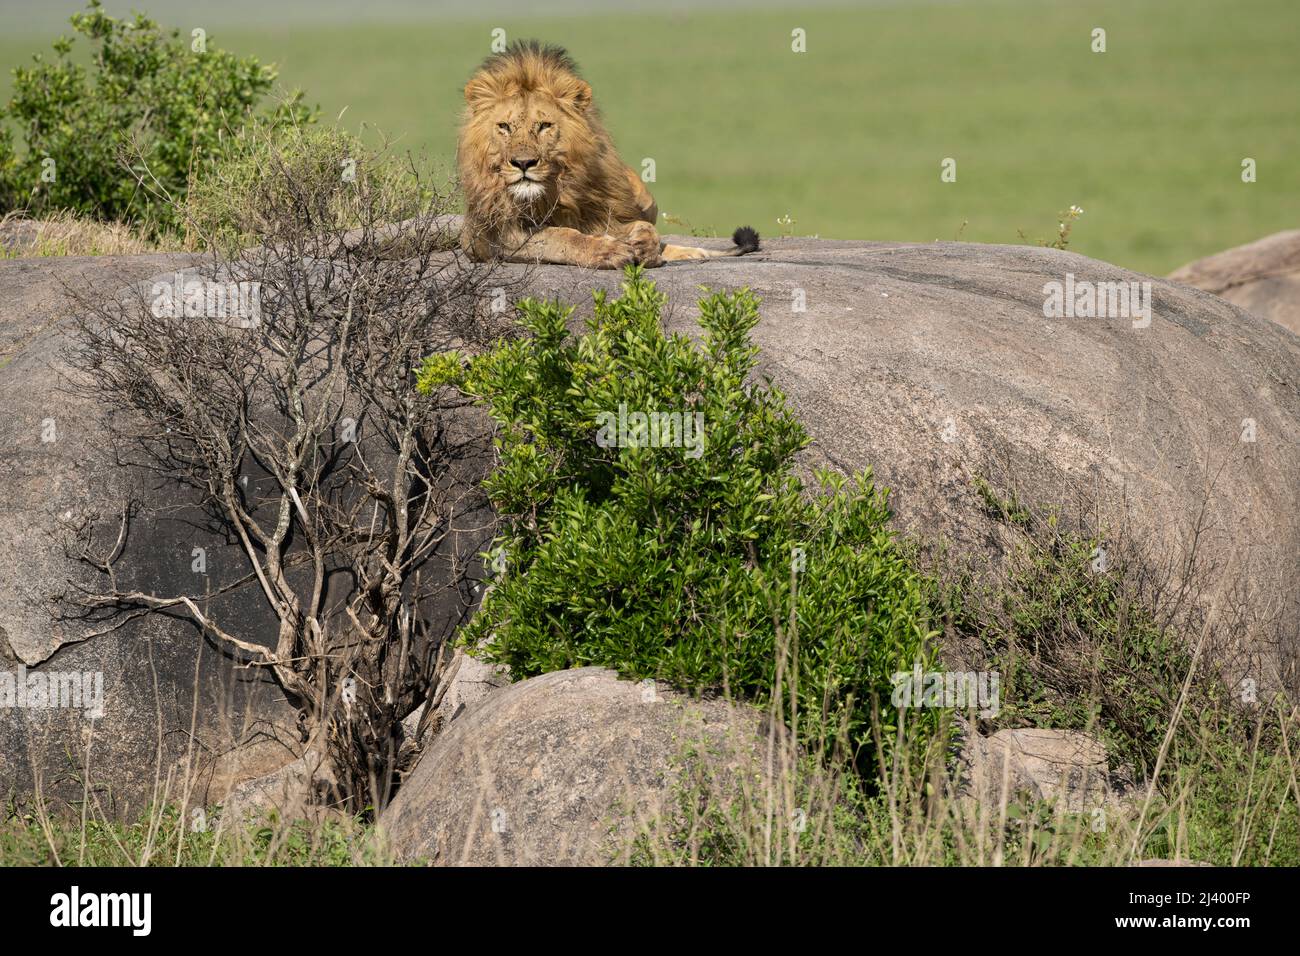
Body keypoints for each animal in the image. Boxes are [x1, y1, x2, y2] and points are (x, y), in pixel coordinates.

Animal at [457, 41, 759, 269]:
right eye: (504, 127)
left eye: (544, 126)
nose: (523, 163)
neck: (553, 193)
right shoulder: (495, 235)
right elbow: (560, 237)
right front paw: (607, 251)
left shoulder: (605, 213)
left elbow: (645, 229)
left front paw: (643, 245)